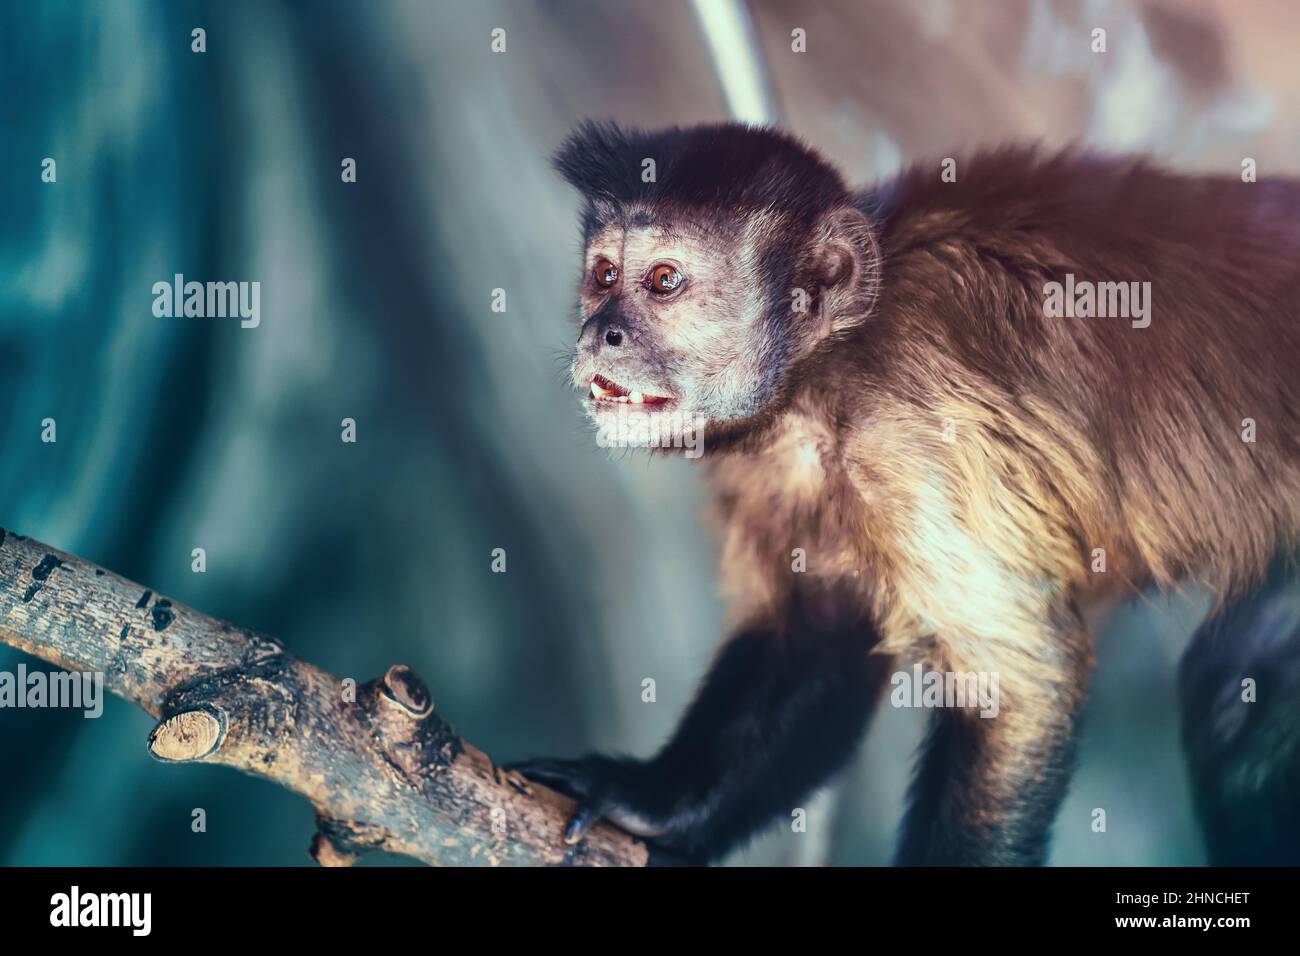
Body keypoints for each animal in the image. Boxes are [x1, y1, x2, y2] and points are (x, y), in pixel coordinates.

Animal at [507, 121, 1300, 865]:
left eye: (665, 280)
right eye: (604, 273)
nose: (600, 332)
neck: (827, 372)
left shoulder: (913, 432)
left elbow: (1020, 685)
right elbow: (818, 630)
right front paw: (649, 803)